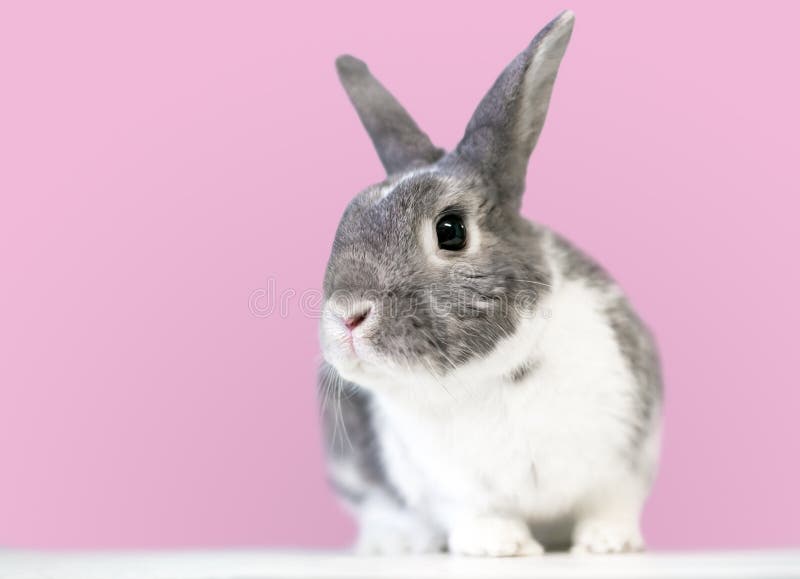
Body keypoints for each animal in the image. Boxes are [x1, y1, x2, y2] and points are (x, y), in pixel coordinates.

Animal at [318, 10, 662, 557]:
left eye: (451, 230)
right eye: (344, 220)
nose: (347, 316)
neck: (490, 375)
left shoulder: (628, 461)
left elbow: (611, 504)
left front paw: (609, 543)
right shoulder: (451, 490)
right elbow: (478, 512)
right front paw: (498, 546)